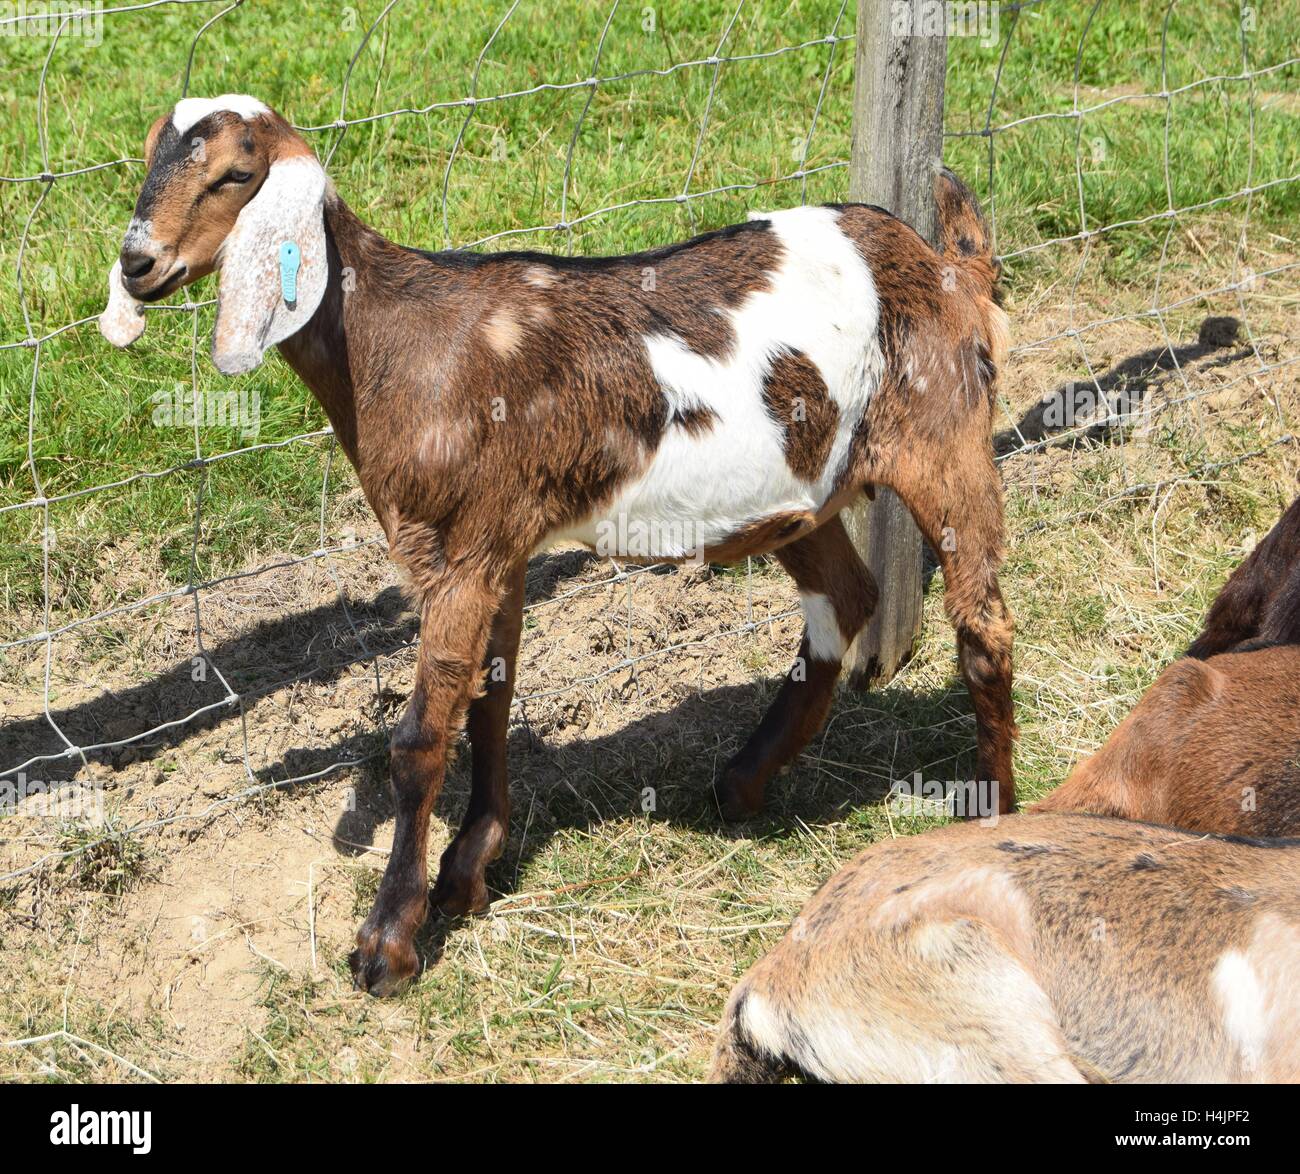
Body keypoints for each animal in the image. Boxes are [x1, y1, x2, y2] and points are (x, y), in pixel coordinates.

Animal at [101, 96, 1015, 996]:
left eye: (234, 174)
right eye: (147, 156)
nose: (138, 262)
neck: (395, 339)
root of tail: (943, 263)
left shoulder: (463, 551)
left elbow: (420, 739)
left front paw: (387, 942)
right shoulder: (500, 544)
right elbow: (490, 702)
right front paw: (468, 873)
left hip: (945, 437)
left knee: (984, 629)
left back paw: (997, 818)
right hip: (811, 490)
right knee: (847, 599)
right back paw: (742, 783)